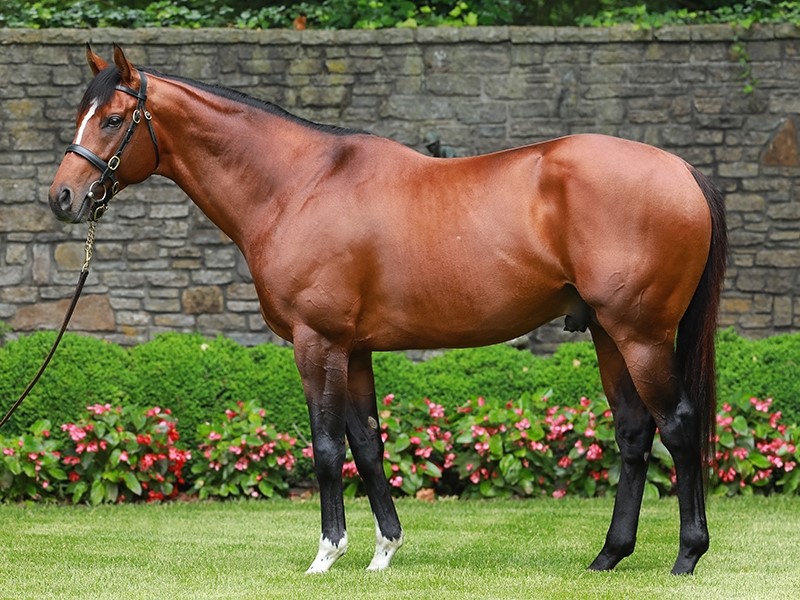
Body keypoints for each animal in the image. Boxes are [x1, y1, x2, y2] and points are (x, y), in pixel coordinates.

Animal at [48, 44, 727, 576]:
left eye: (113, 119)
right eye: (79, 115)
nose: (62, 197)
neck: (297, 185)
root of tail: (680, 170)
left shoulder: (316, 341)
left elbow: (326, 446)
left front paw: (326, 554)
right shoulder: (354, 350)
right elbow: (368, 444)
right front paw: (384, 551)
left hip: (641, 333)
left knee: (678, 425)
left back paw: (687, 555)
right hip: (609, 333)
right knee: (635, 433)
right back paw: (609, 555)